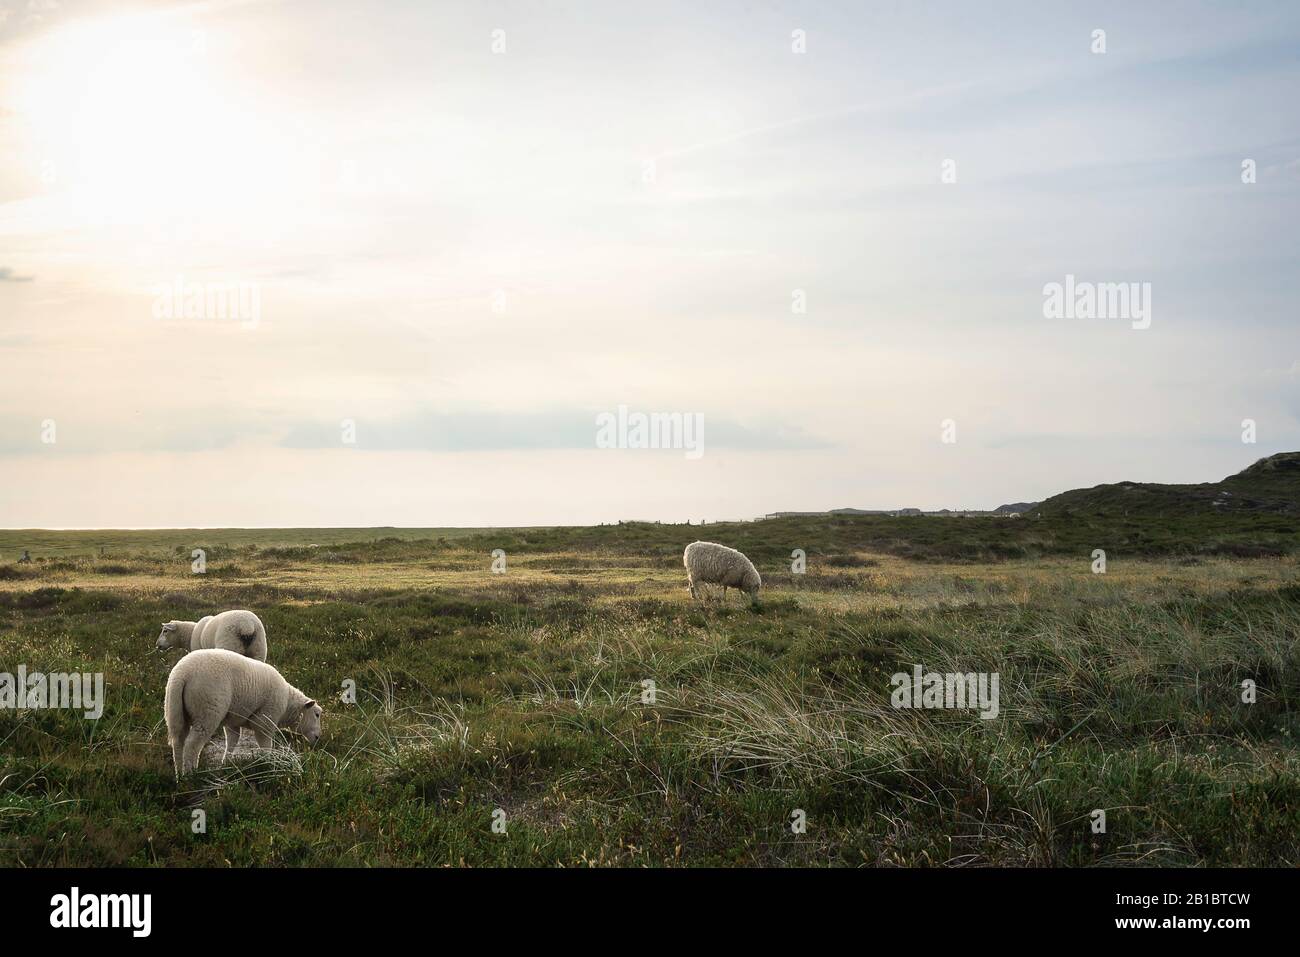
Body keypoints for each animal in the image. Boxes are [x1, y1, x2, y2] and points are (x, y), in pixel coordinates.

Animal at [163, 649, 322, 778]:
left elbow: (232, 741)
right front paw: (268, 764)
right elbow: (266, 745)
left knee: (178, 742)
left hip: (176, 711)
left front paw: (226, 763)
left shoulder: (232, 721)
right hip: (207, 710)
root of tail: (182, 675)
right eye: (317, 714)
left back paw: (179, 775)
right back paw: (191, 774)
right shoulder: (264, 721)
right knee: (192, 744)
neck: (287, 705)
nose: (318, 738)